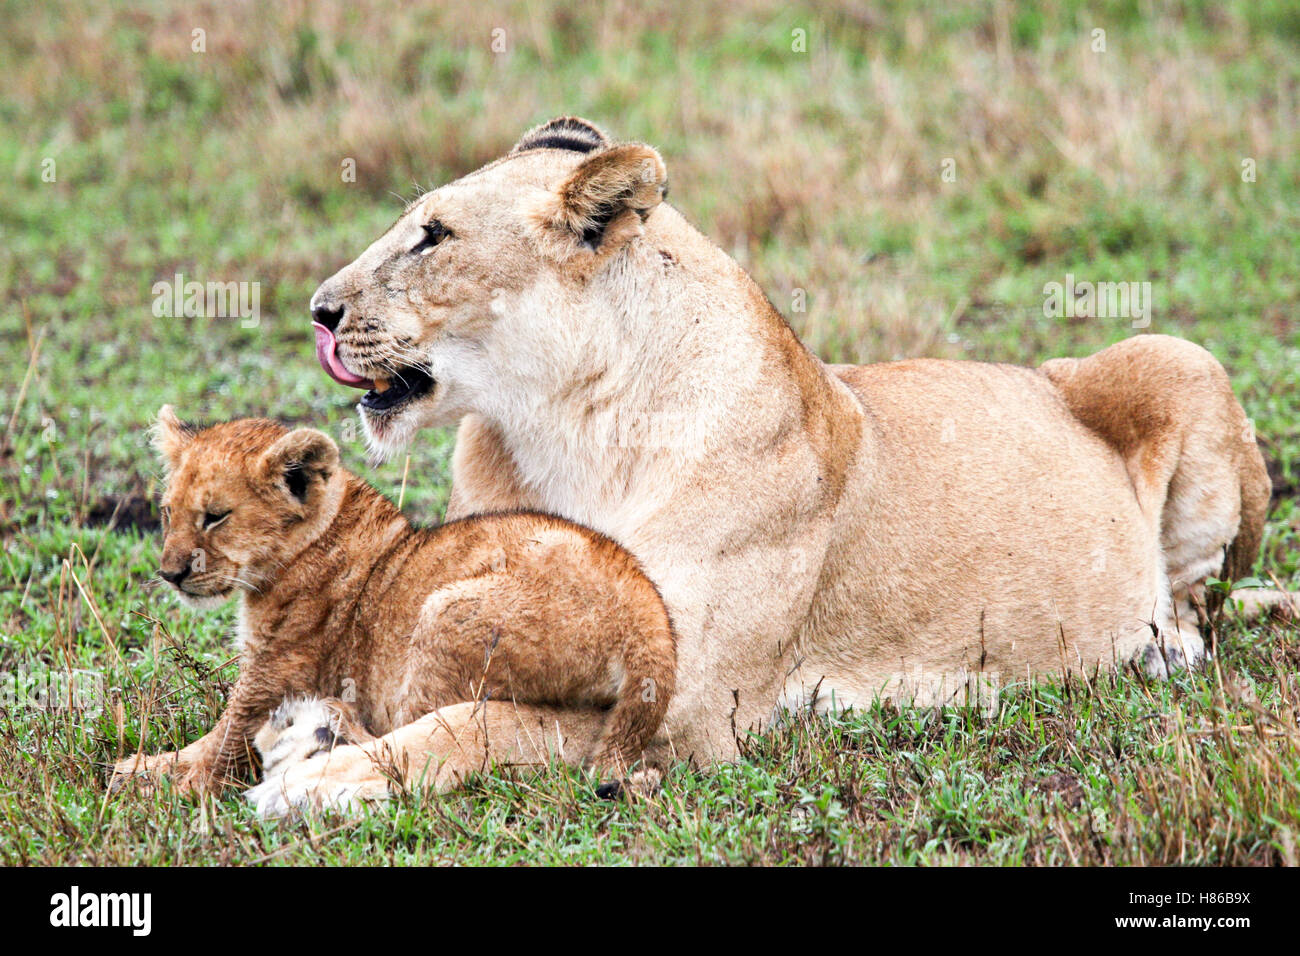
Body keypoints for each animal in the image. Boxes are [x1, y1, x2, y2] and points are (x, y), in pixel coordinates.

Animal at [109, 407, 676, 799]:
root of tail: (649, 622)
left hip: (443, 615)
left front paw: (167, 784)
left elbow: (225, 737)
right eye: (166, 512)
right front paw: (147, 769)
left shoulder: (278, 667)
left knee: (394, 739)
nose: (170, 574)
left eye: (216, 516)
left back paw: (325, 734)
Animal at [262, 116, 1284, 813]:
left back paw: (1162, 649)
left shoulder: (681, 708)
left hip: (1178, 356)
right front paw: (305, 740)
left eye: (434, 236)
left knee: (1200, 601)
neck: (561, 428)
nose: (317, 310)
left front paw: (326, 777)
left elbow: (485, 722)